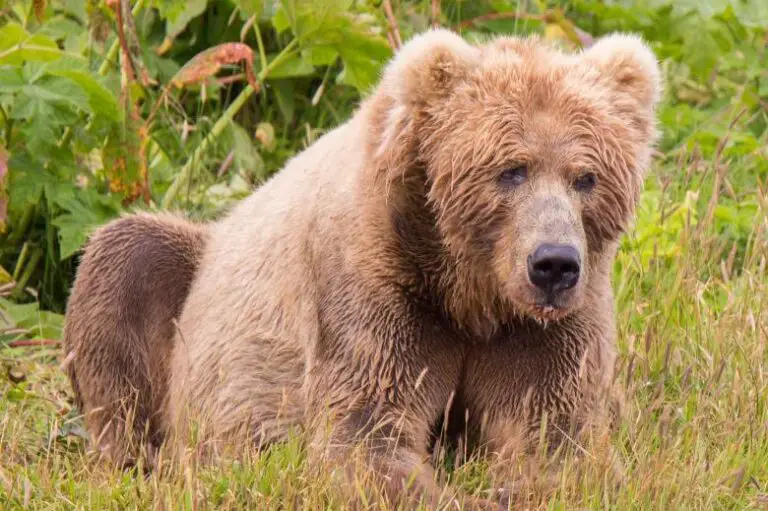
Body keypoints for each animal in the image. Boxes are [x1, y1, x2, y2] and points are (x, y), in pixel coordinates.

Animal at [63, 28, 660, 508]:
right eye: (511, 170)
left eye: (586, 176)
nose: (553, 264)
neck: (468, 291)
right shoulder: (374, 288)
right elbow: (365, 439)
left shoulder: (545, 329)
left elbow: (557, 437)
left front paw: (520, 485)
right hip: (187, 282)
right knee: (125, 262)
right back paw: (143, 461)